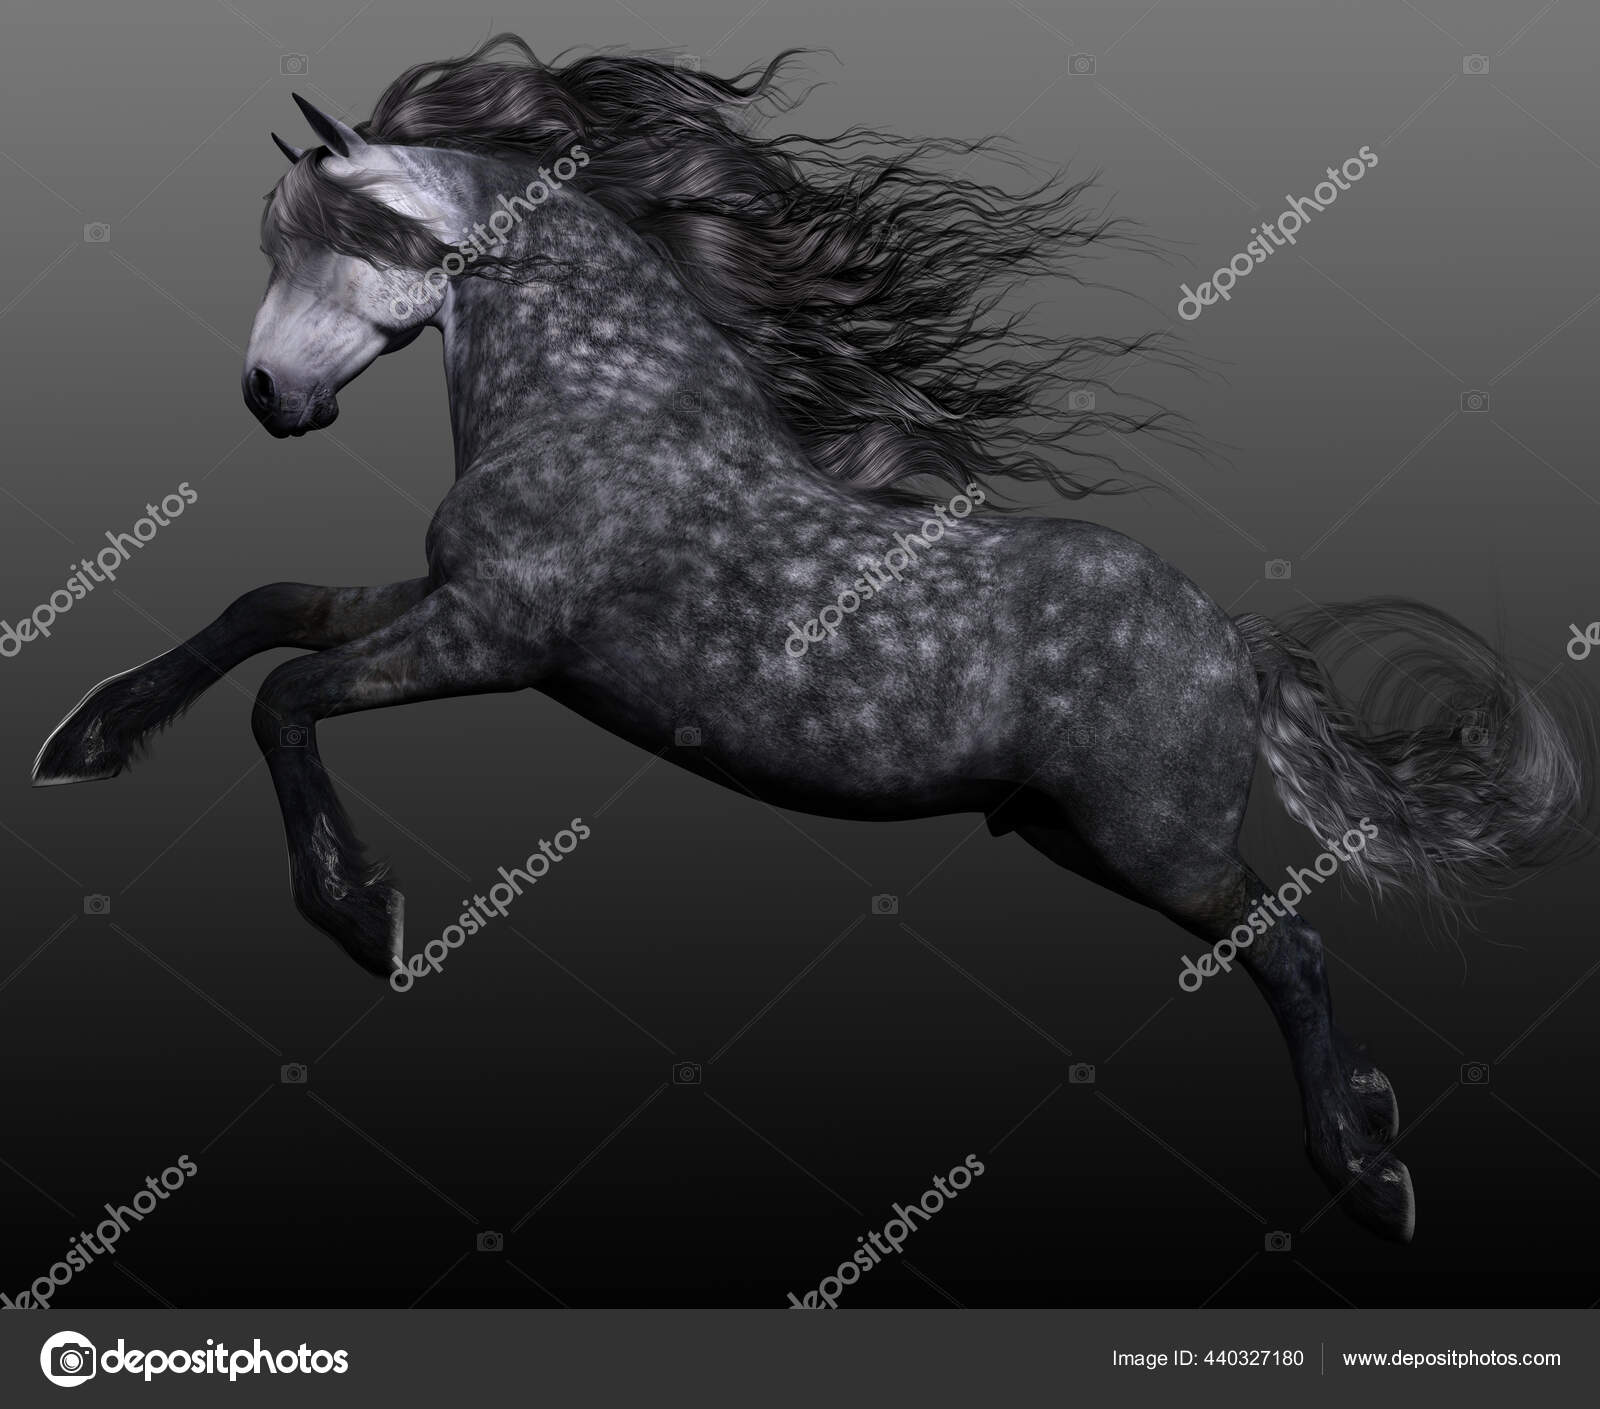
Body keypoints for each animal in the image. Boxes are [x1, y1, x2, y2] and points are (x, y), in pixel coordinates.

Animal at [32, 37, 1589, 1245]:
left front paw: (365, 916)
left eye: (354, 240)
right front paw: (87, 736)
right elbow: (264, 612)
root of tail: (1235, 640)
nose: (269, 395)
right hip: (1068, 835)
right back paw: (1374, 1122)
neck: (603, 406)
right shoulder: (441, 596)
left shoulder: (493, 639)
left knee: (1297, 946)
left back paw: (1371, 1173)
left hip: (1158, 847)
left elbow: (288, 695)